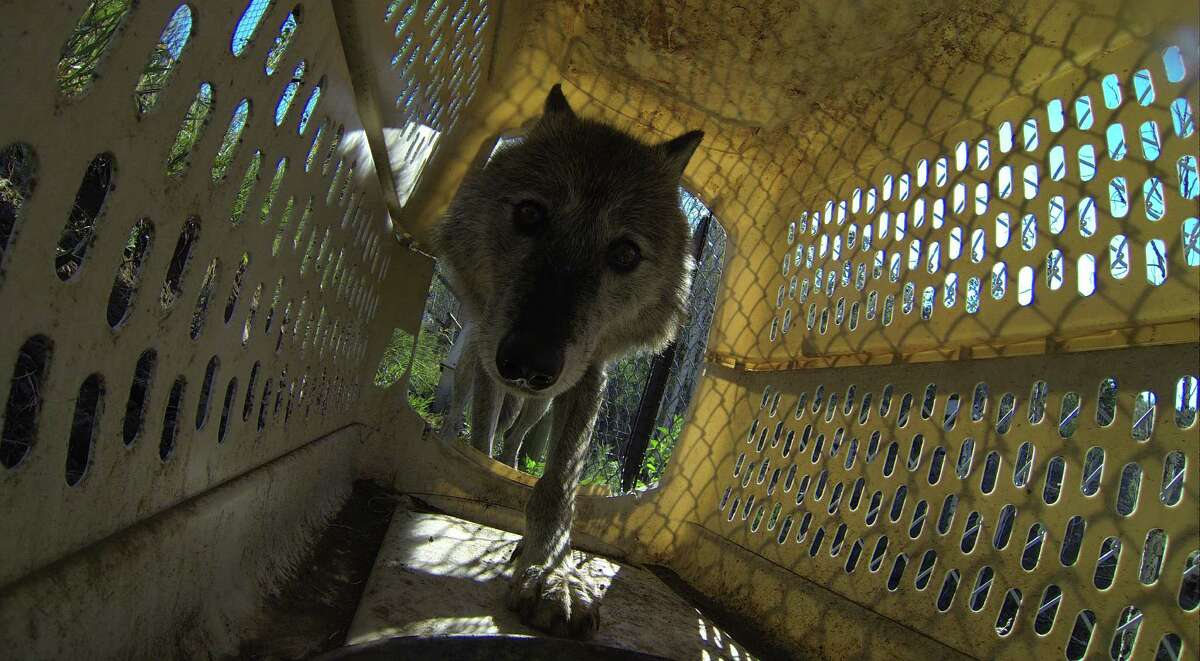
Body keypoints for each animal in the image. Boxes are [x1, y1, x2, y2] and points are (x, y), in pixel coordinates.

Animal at [431, 84, 702, 637]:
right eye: (530, 214)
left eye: (625, 253)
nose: (527, 362)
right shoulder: (489, 365)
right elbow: (482, 430)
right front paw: (481, 472)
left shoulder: (585, 376)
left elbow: (559, 484)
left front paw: (552, 572)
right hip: (476, 368)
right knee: (473, 415)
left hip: (542, 402)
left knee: (518, 434)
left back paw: (512, 462)